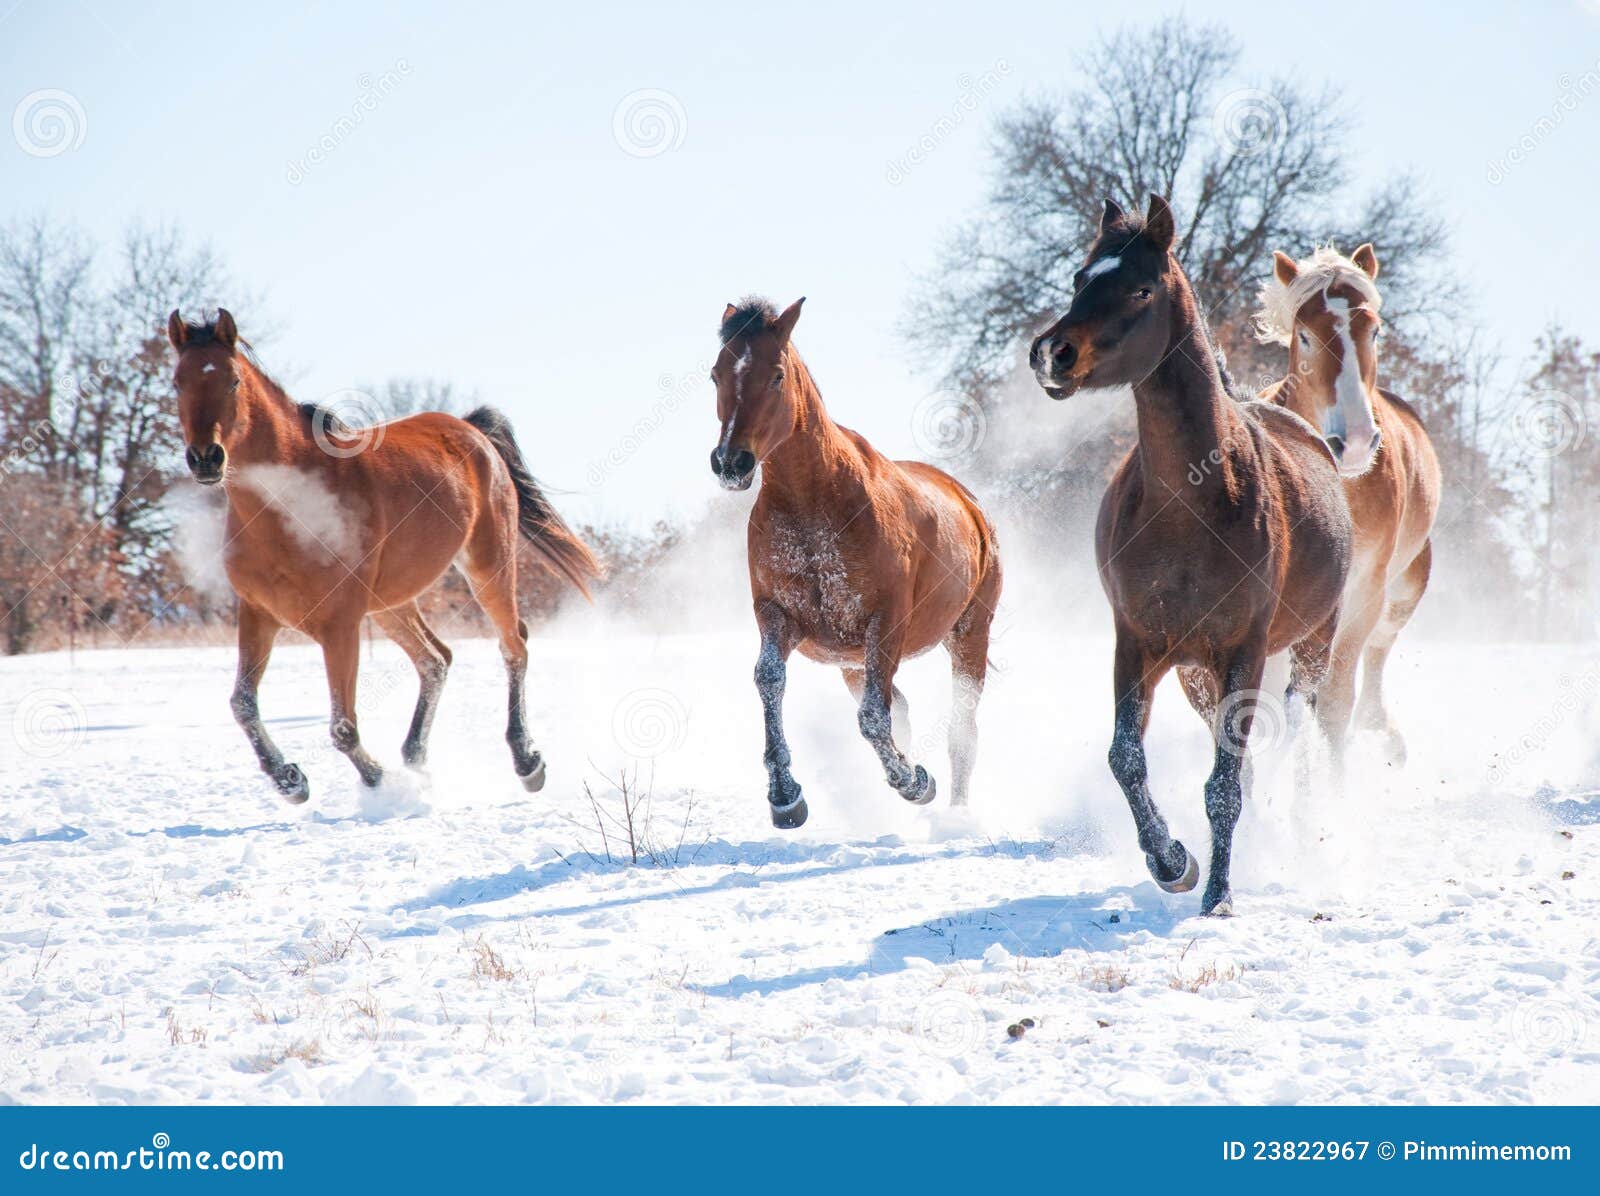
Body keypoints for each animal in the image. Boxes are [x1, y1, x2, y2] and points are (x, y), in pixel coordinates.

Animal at [167, 309, 599, 803]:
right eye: (178, 382)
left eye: (234, 380)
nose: (206, 458)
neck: (289, 508)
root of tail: (473, 431)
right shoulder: (258, 615)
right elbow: (242, 705)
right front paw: (291, 780)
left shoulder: (340, 625)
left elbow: (342, 727)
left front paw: (377, 780)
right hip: (391, 604)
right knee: (436, 660)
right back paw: (416, 761)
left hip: (488, 567)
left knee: (513, 647)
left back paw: (527, 762)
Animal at [709, 297, 1002, 828]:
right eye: (715, 373)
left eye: (776, 375)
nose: (730, 463)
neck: (813, 504)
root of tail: (969, 503)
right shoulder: (777, 616)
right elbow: (770, 680)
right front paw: (785, 798)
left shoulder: (884, 623)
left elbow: (872, 718)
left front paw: (914, 782)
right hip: (850, 660)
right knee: (899, 707)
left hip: (970, 633)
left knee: (961, 732)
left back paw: (954, 814)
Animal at [1029, 195, 1353, 916]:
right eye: (1080, 277)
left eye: (1141, 288)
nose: (1052, 354)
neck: (1192, 501)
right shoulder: (1137, 643)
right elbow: (1125, 757)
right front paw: (1173, 861)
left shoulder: (1244, 651)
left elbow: (1224, 785)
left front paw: (1219, 895)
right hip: (1196, 675)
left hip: (1310, 643)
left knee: (1292, 733)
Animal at [1254, 245, 1441, 769]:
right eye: (1304, 335)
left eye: (1373, 330)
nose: (1354, 442)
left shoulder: (1363, 592)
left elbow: (1335, 704)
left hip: (1405, 587)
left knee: (1379, 648)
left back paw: (1382, 732)